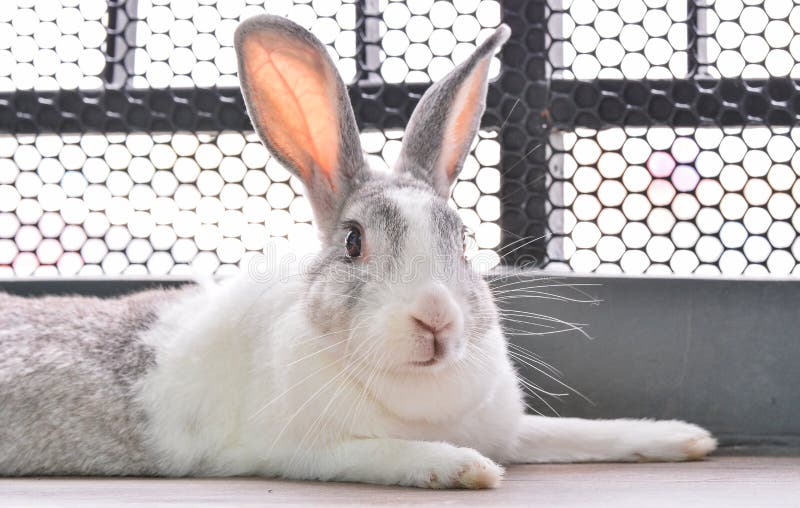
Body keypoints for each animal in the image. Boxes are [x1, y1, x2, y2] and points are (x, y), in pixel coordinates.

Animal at [0, 15, 716, 488]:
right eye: (353, 242)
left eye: (462, 239)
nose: (436, 319)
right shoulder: (299, 450)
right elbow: (384, 455)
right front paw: (464, 467)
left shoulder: (514, 427)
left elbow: (574, 432)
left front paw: (683, 437)